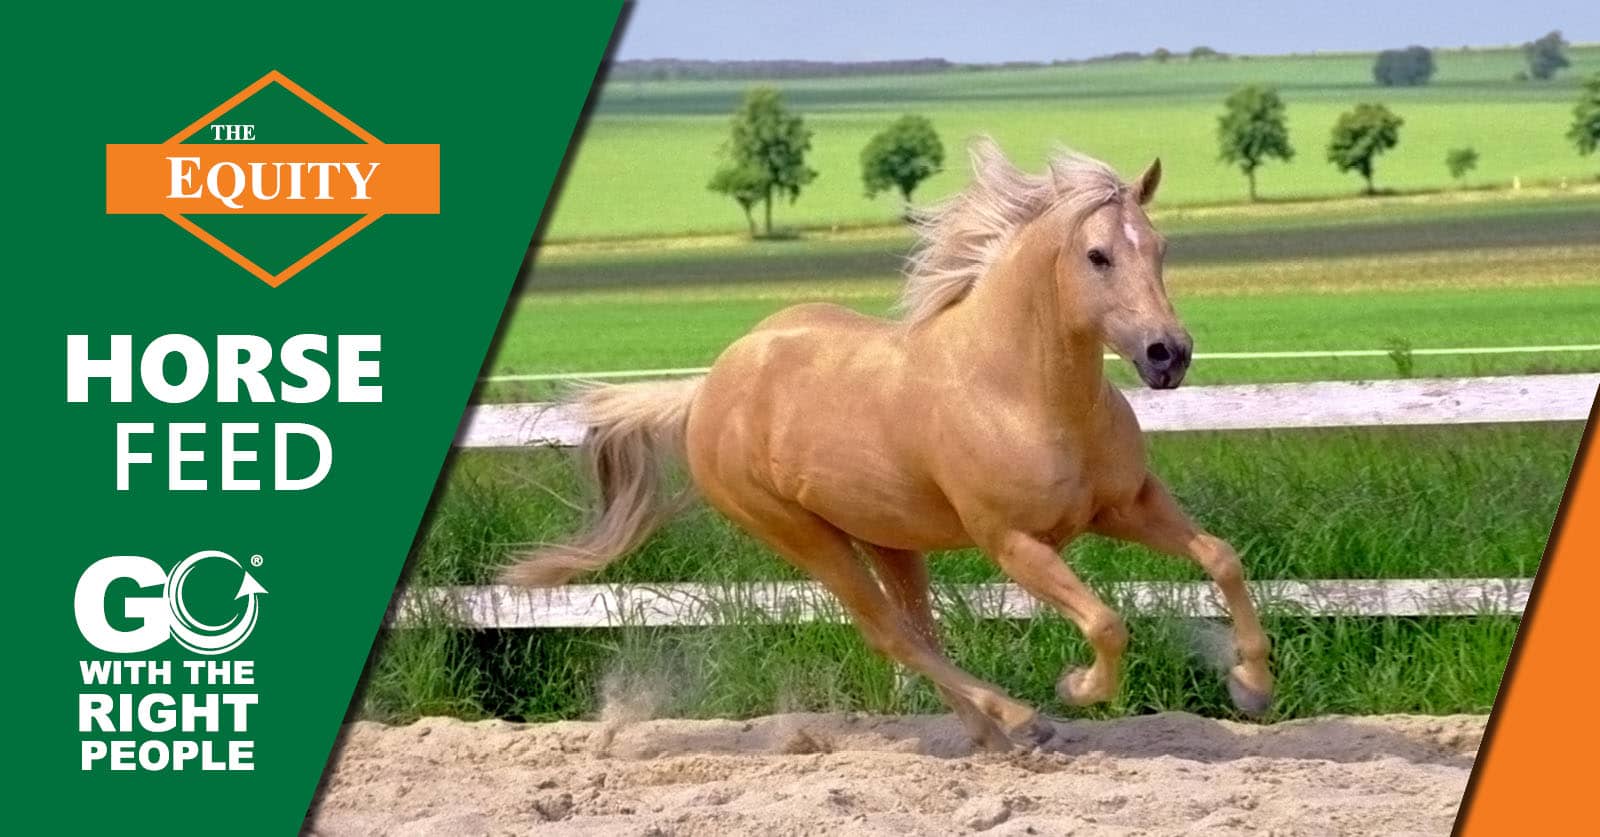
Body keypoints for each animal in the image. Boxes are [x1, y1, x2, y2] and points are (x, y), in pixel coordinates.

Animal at [502, 140, 1273, 749]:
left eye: (1161, 248)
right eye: (1098, 255)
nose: (1168, 355)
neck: (1023, 393)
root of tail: (708, 390)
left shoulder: (1128, 505)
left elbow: (1222, 557)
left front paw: (1251, 685)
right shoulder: (1016, 544)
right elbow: (1108, 622)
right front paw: (1078, 689)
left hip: (887, 537)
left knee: (917, 632)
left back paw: (991, 733)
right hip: (804, 538)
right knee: (890, 633)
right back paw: (1022, 721)